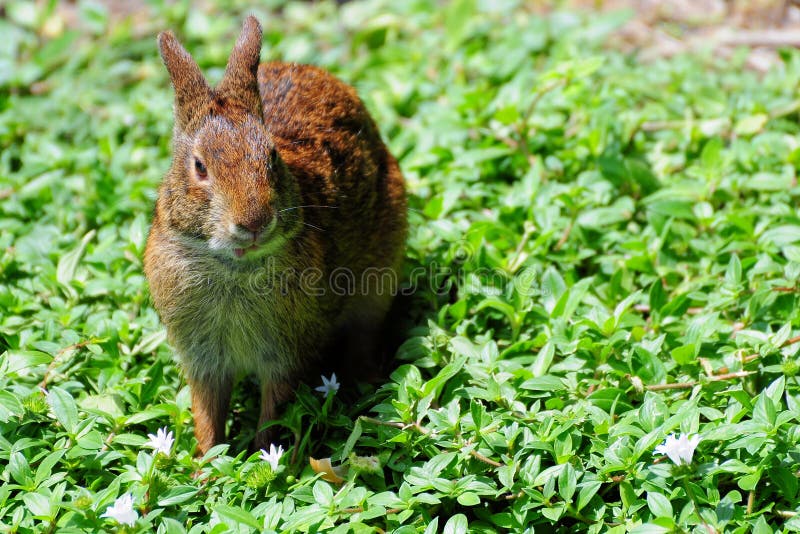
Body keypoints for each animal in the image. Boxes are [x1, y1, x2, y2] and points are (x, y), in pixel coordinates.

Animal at [143, 16, 407, 455]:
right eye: (199, 166)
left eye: (272, 157)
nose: (254, 223)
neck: (233, 268)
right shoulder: (203, 361)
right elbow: (207, 414)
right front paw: (207, 463)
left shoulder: (286, 357)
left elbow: (275, 409)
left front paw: (264, 455)